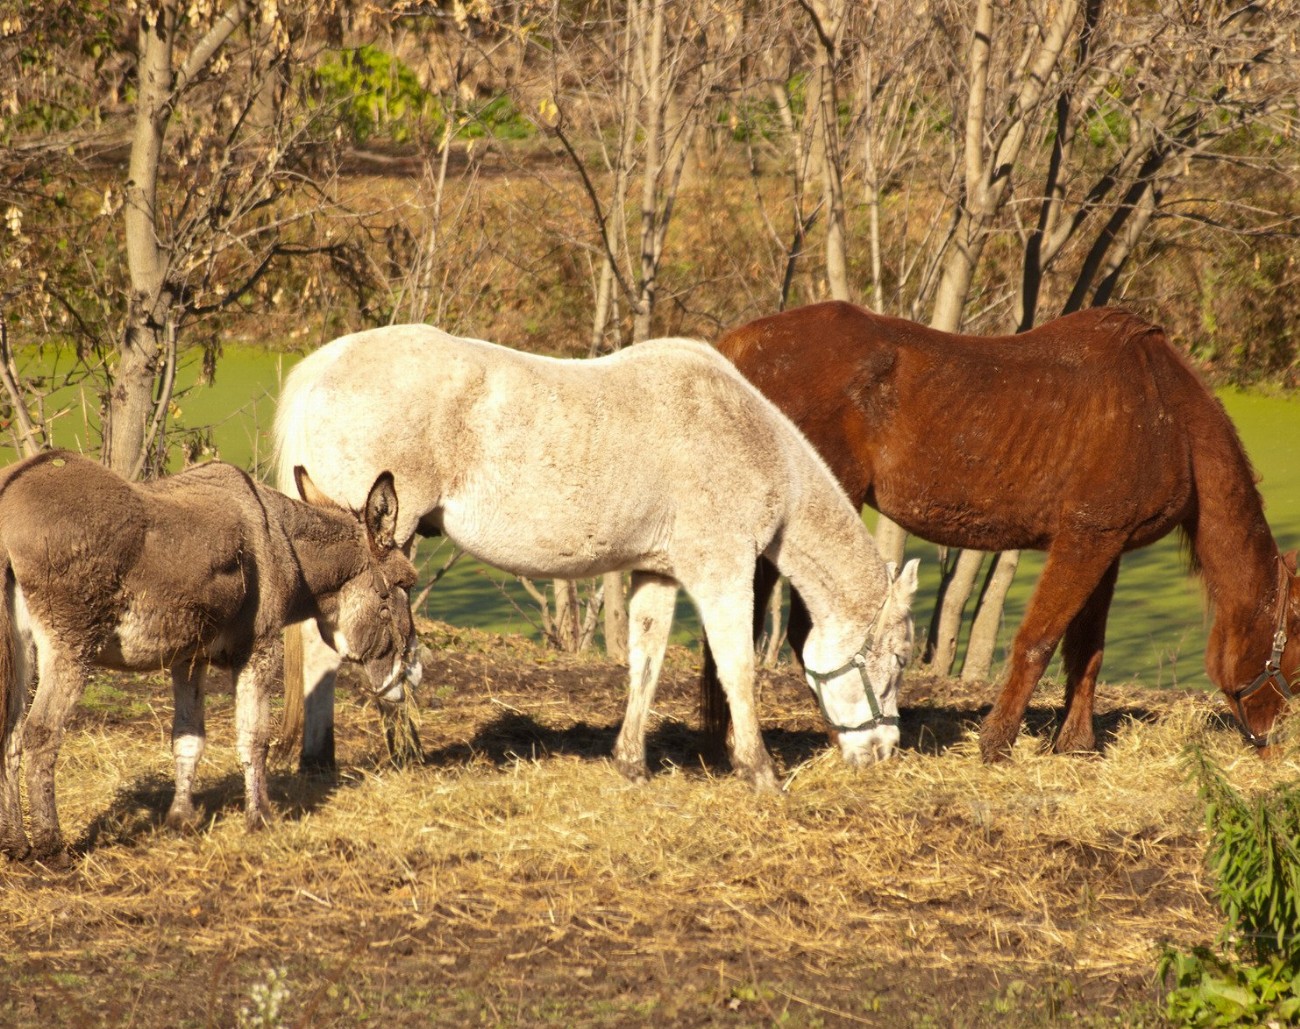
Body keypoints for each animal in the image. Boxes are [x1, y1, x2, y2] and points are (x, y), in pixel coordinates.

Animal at [0, 450, 419, 862]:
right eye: (405, 586)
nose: (412, 673)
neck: (285, 546)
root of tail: (11, 495)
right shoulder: (260, 647)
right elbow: (253, 737)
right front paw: (260, 819)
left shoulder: (189, 659)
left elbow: (188, 740)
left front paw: (181, 820)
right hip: (70, 643)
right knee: (41, 732)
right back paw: (51, 847)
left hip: (22, 650)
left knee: (11, 733)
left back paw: (15, 843)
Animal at [273, 324, 920, 788]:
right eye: (898, 659)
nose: (885, 751)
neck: (749, 440)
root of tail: (326, 363)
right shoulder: (722, 572)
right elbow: (738, 668)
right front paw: (759, 771)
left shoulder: (657, 572)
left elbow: (646, 662)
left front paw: (631, 763)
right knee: (326, 646)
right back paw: (327, 759)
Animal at [702, 301, 1299, 761]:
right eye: (1293, 630)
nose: (1274, 738)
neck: (1165, 412)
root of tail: (739, 347)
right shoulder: (1084, 542)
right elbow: (1038, 640)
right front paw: (996, 741)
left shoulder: (1106, 547)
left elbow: (1088, 648)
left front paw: (1075, 745)